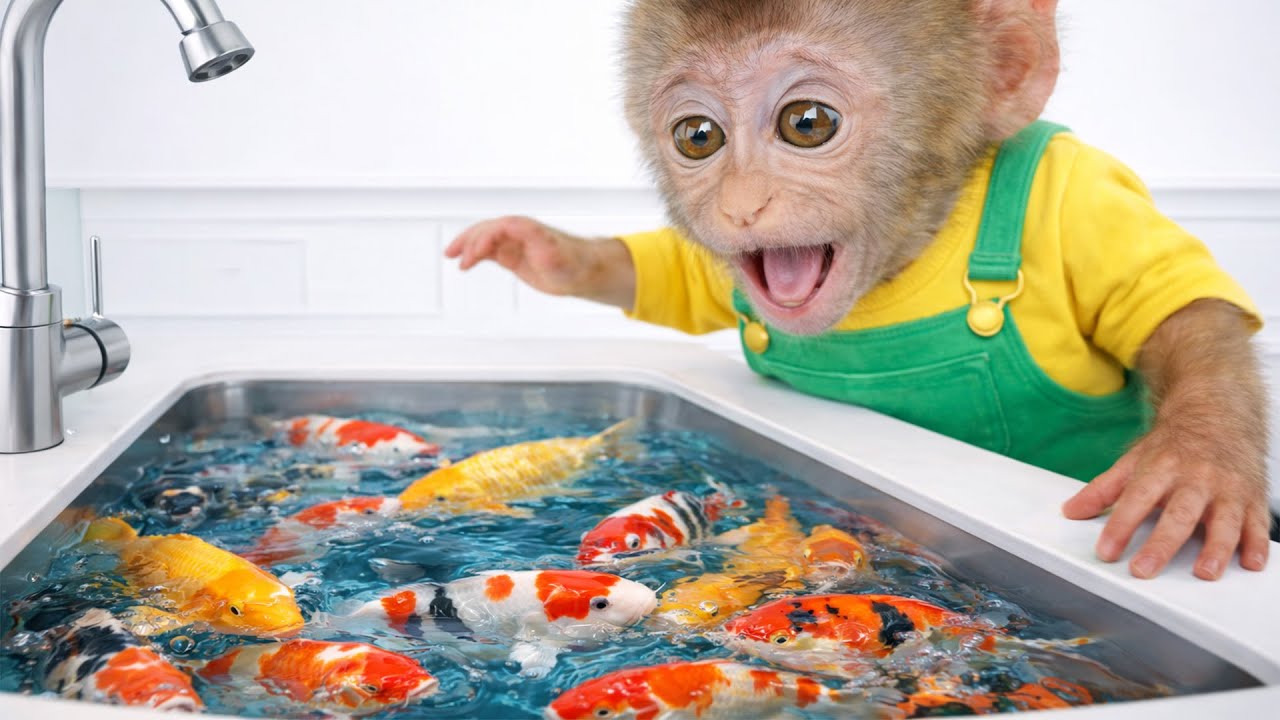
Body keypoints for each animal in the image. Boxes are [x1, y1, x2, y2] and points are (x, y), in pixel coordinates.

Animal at [445, 0, 1271, 581]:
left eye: (807, 123)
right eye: (698, 137)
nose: (741, 205)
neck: (911, 255)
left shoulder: (1071, 194)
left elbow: (1177, 307)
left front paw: (1193, 468)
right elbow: (671, 275)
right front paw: (539, 249)